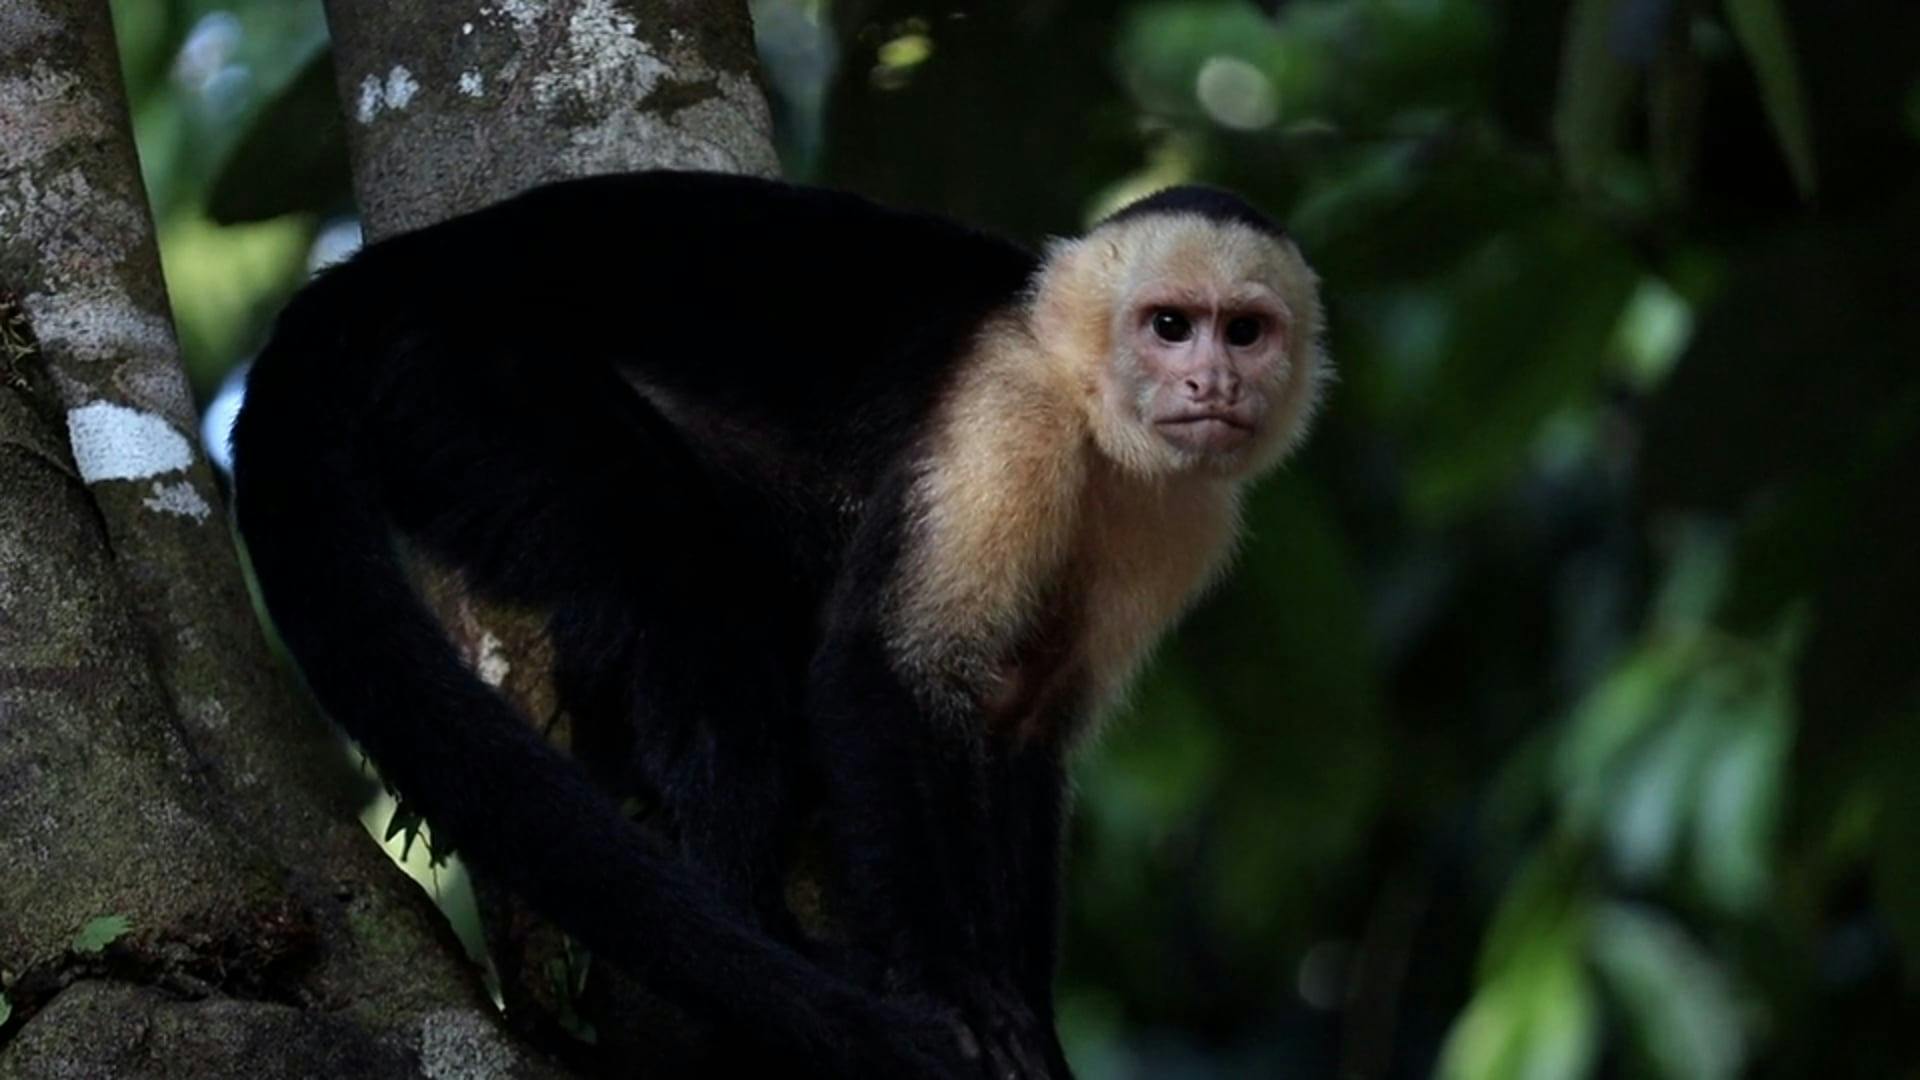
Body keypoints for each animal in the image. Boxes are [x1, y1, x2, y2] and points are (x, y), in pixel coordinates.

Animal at [228, 169, 1326, 1079]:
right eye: (1170, 325)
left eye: (1245, 331)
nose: (1212, 384)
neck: (1089, 410)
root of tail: (391, 272)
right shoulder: (1007, 413)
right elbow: (882, 669)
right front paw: (955, 993)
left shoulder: (1181, 518)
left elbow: (1019, 721)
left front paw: (1033, 1024)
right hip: (463, 386)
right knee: (693, 589)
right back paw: (755, 937)